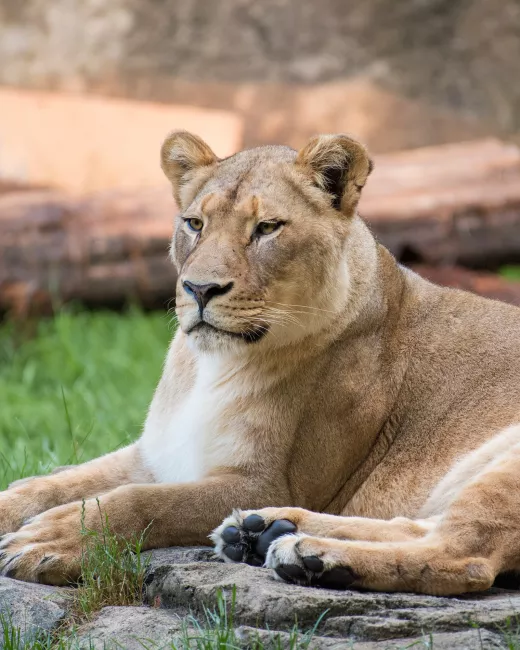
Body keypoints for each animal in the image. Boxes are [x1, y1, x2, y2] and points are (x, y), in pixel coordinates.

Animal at [1, 131, 520, 596]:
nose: (200, 289)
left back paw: (308, 556)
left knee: (465, 555)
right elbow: (50, 484)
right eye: (194, 223)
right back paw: (262, 530)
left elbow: (142, 501)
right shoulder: (158, 452)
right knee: (418, 527)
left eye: (267, 228)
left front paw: (49, 540)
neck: (210, 366)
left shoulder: (267, 479)